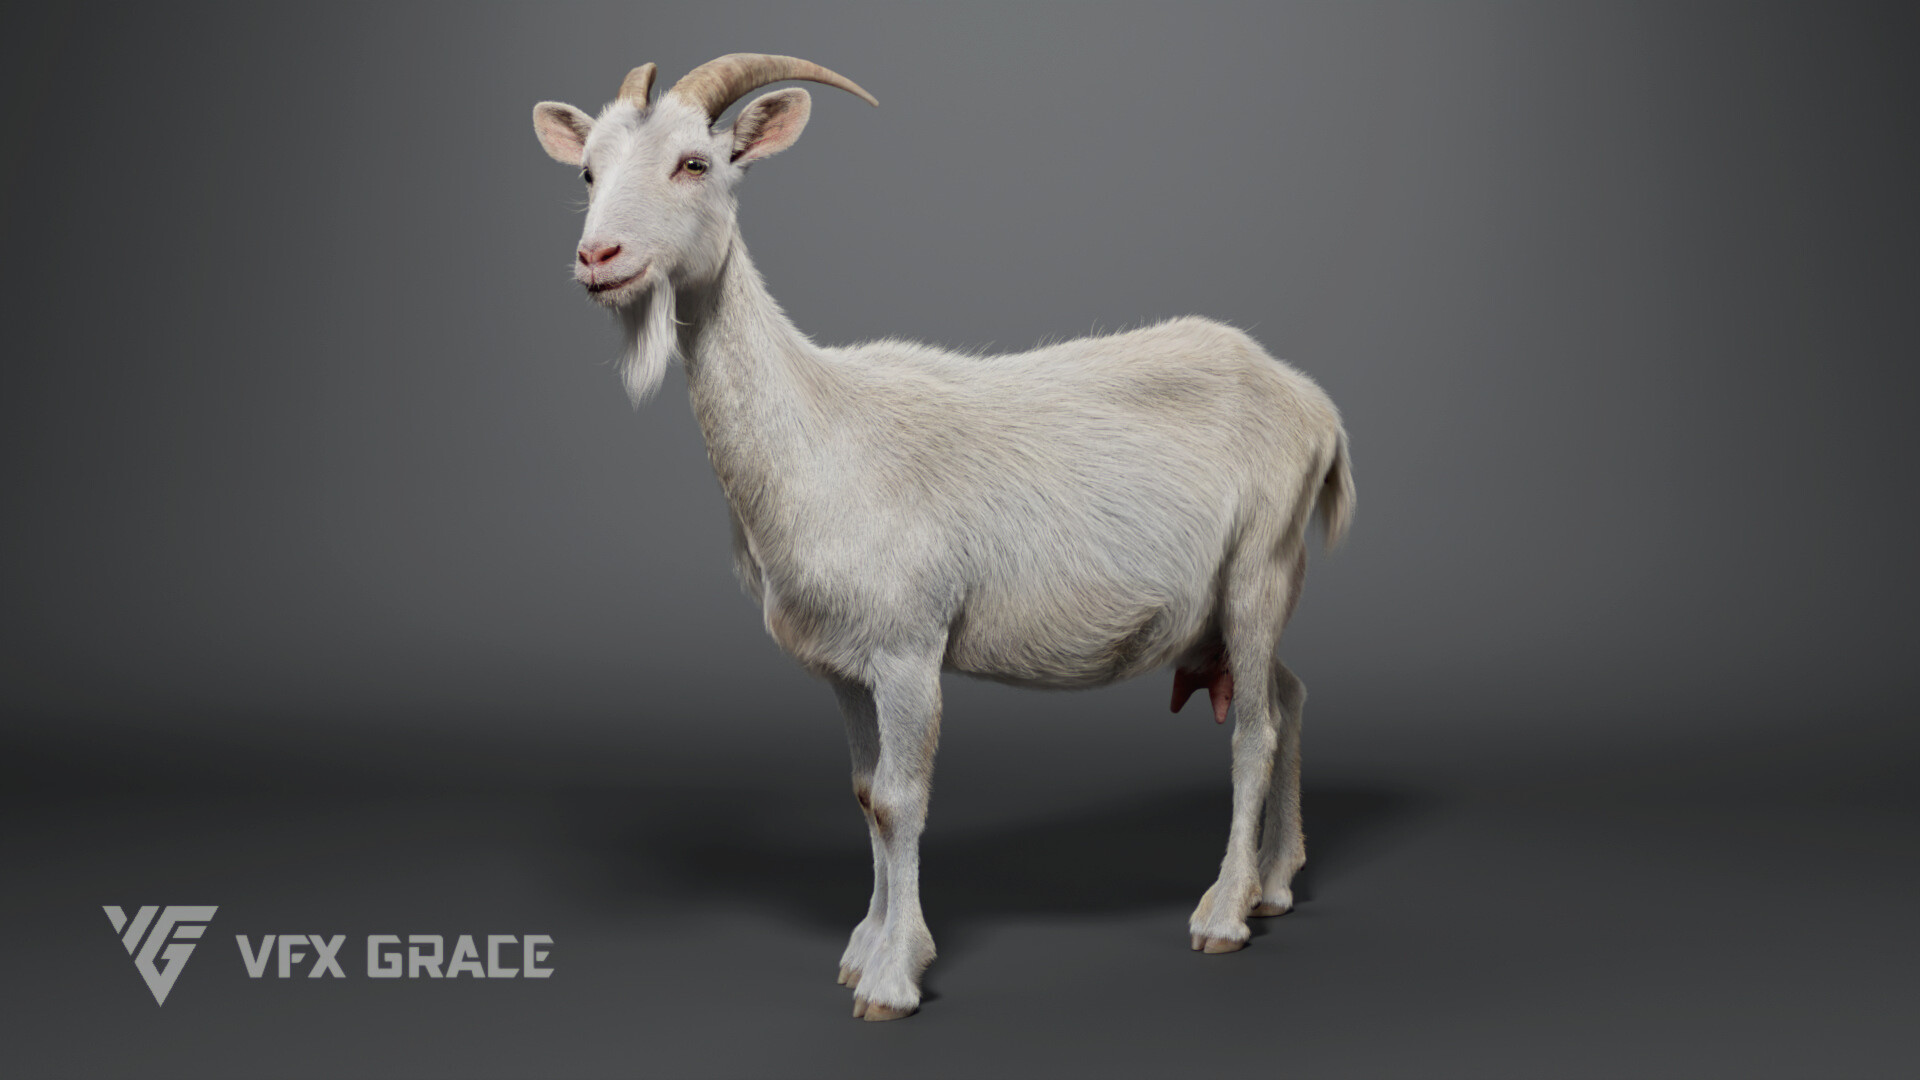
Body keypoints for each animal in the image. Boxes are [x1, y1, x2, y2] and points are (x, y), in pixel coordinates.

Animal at [531, 53, 1355, 1021]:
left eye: (696, 163)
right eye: (589, 171)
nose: (599, 258)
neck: (822, 428)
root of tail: (1312, 404)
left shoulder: (908, 647)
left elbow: (901, 799)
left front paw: (893, 977)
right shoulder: (845, 664)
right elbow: (864, 797)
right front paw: (864, 948)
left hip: (1261, 561)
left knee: (1253, 732)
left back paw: (1223, 913)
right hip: (1243, 596)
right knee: (1290, 695)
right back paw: (1275, 883)